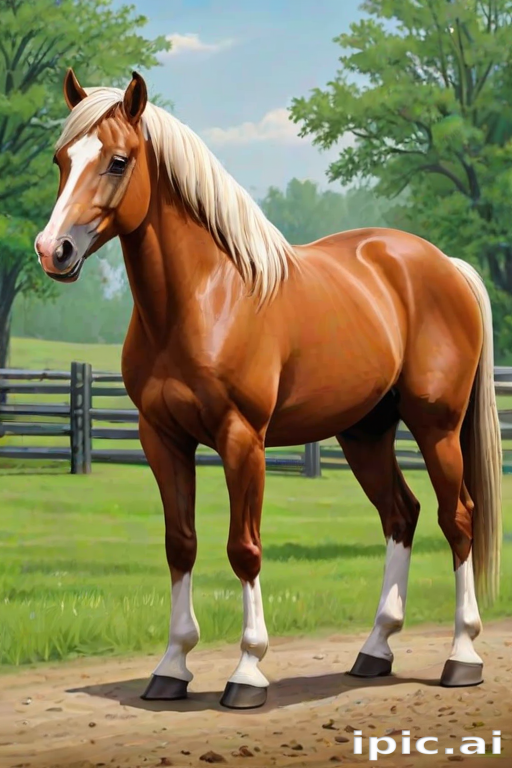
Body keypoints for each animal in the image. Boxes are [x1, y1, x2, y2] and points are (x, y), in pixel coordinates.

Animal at [34, 69, 502, 710]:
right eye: (63, 159)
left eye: (118, 161)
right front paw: (171, 668)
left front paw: (248, 671)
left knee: (457, 519)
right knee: (400, 515)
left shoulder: (242, 439)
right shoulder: (162, 439)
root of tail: (444, 264)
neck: (205, 297)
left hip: (438, 428)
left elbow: (244, 547)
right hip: (365, 434)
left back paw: (463, 656)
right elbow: (181, 543)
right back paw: (375, 651)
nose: (52, 250)